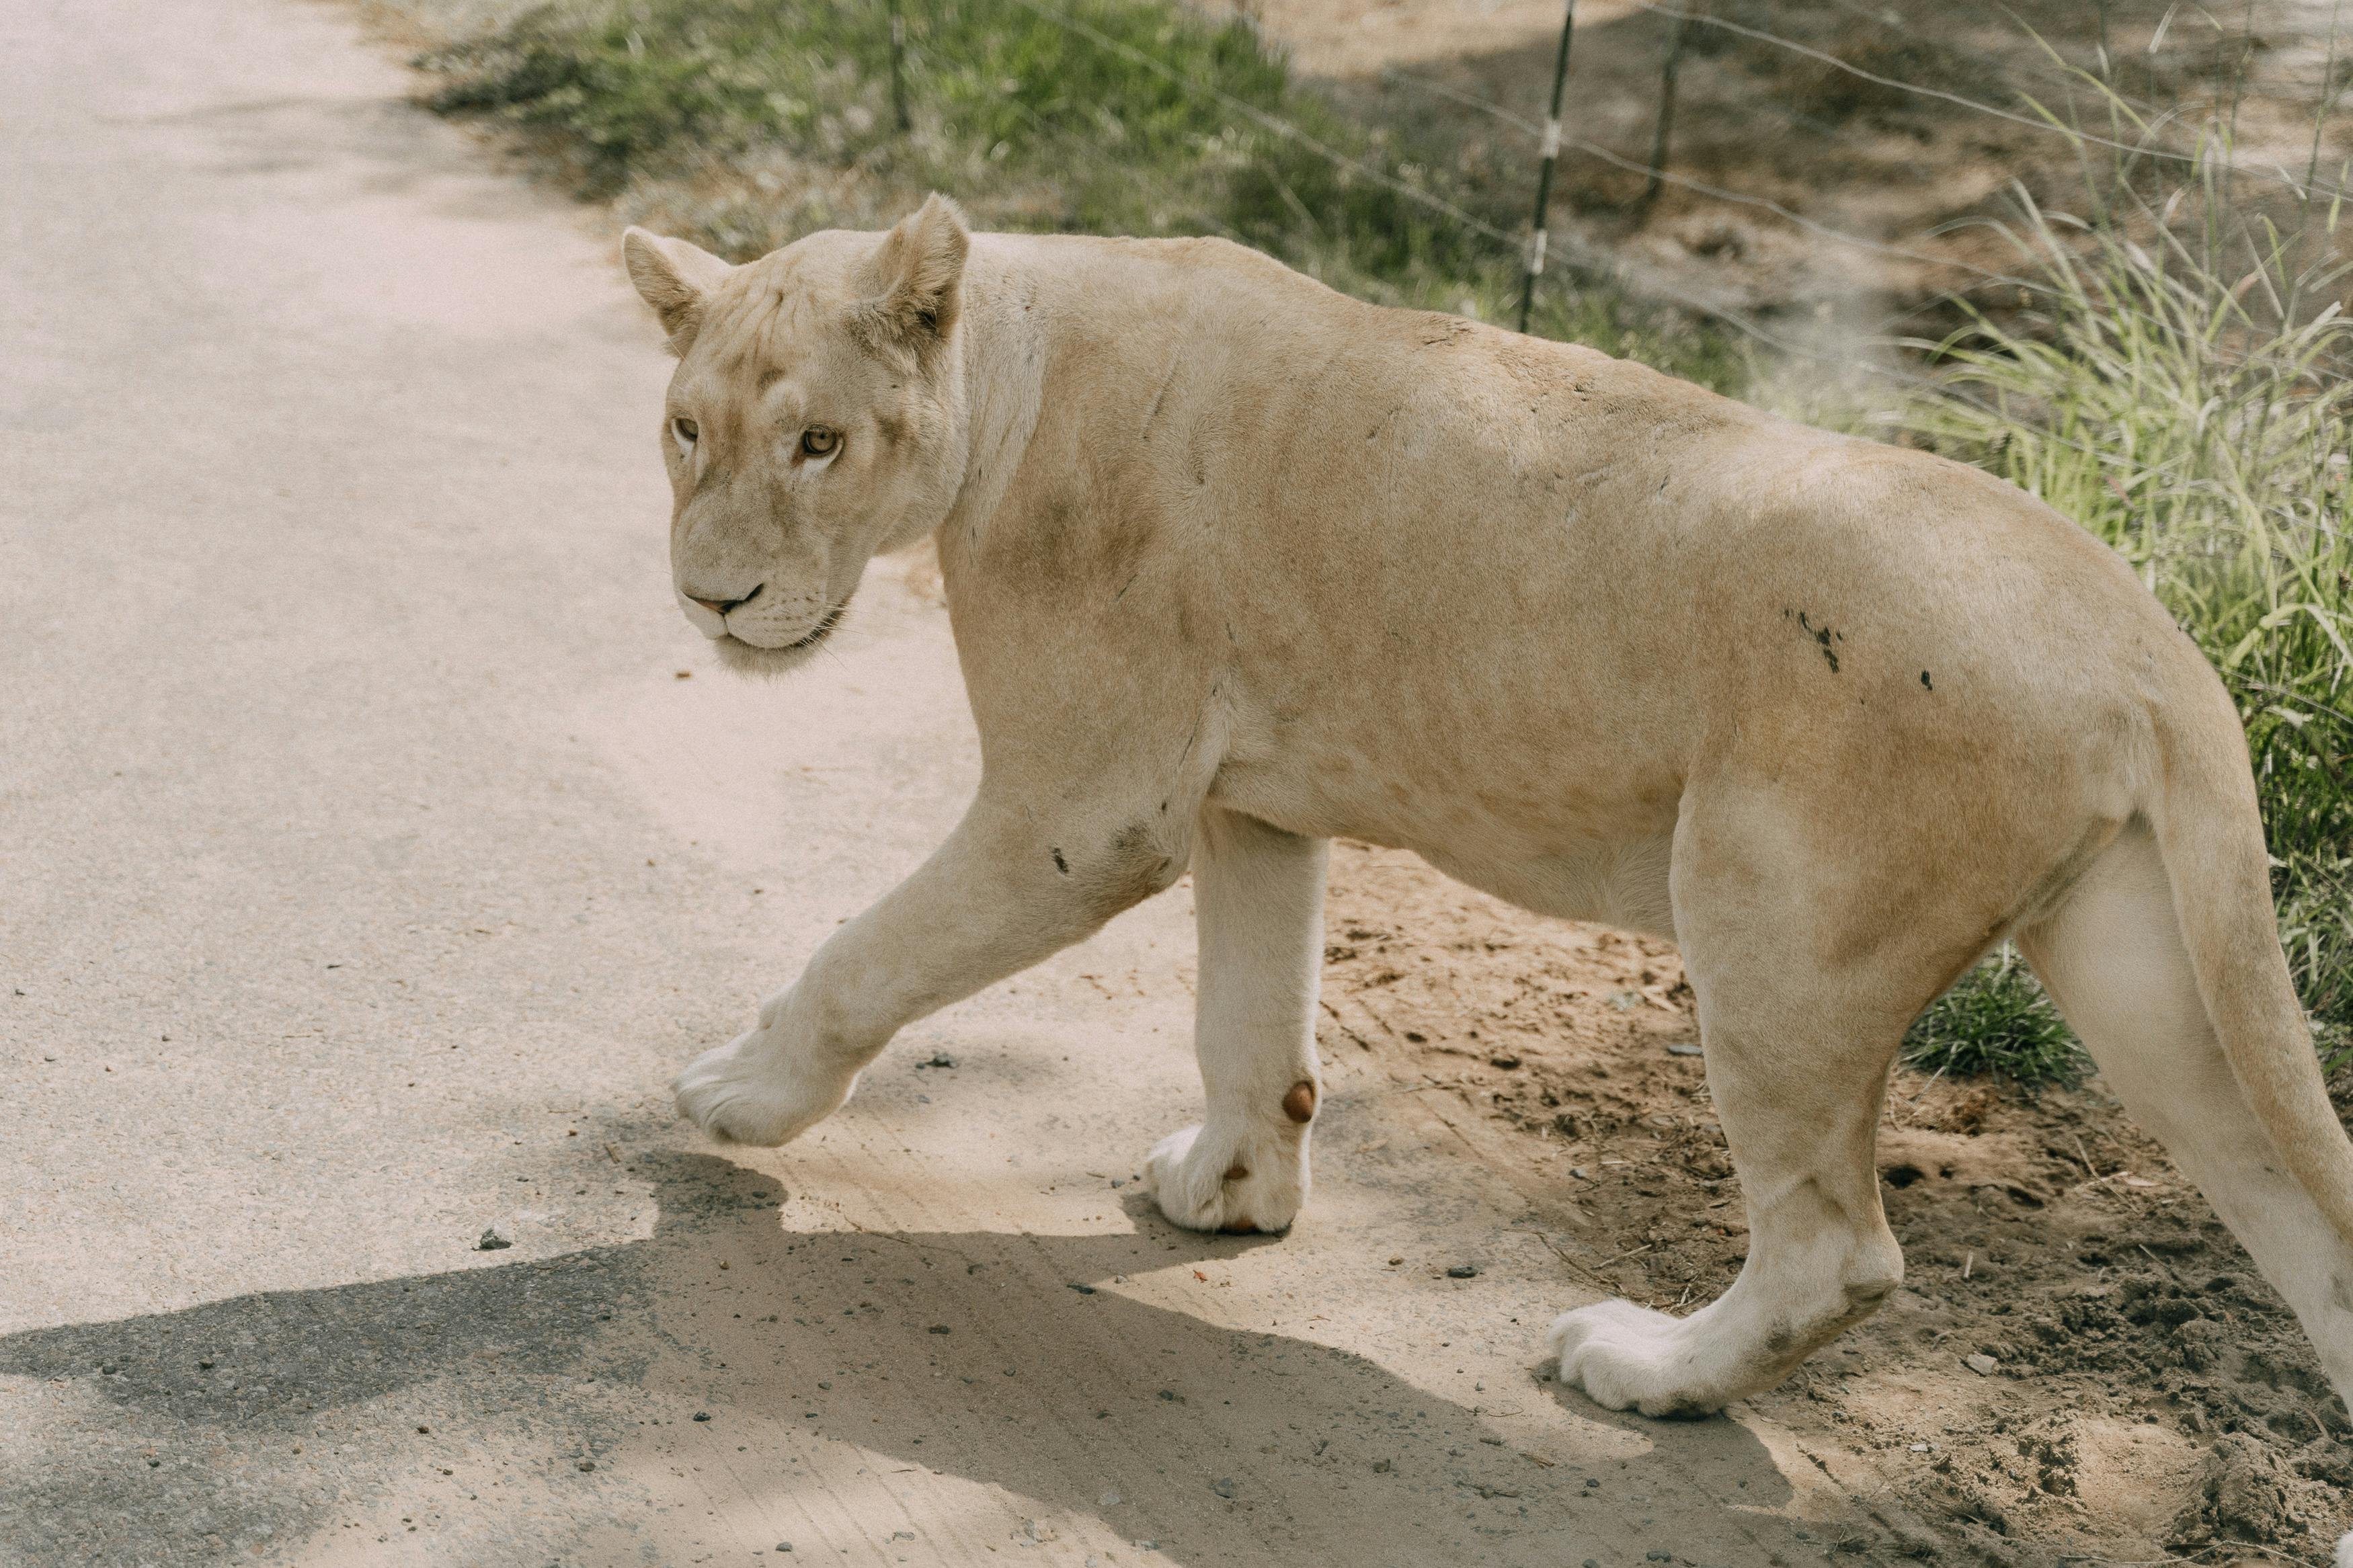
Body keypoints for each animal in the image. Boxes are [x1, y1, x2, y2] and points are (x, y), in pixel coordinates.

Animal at [621, 196, 2353, 1496]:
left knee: (1836, 1252)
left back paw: (1646, 1369)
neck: (1009, 368)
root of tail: (2143, 633)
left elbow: (866, 953)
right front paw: (1234, 1188)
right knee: (2302, 1223)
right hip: (2147, 976)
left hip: (1772, 924)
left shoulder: (1081, 814)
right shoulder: (1253, 804)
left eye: (819, 444)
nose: (709, 600)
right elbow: (1249, 1019)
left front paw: (740, 1093)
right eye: (686, 432)